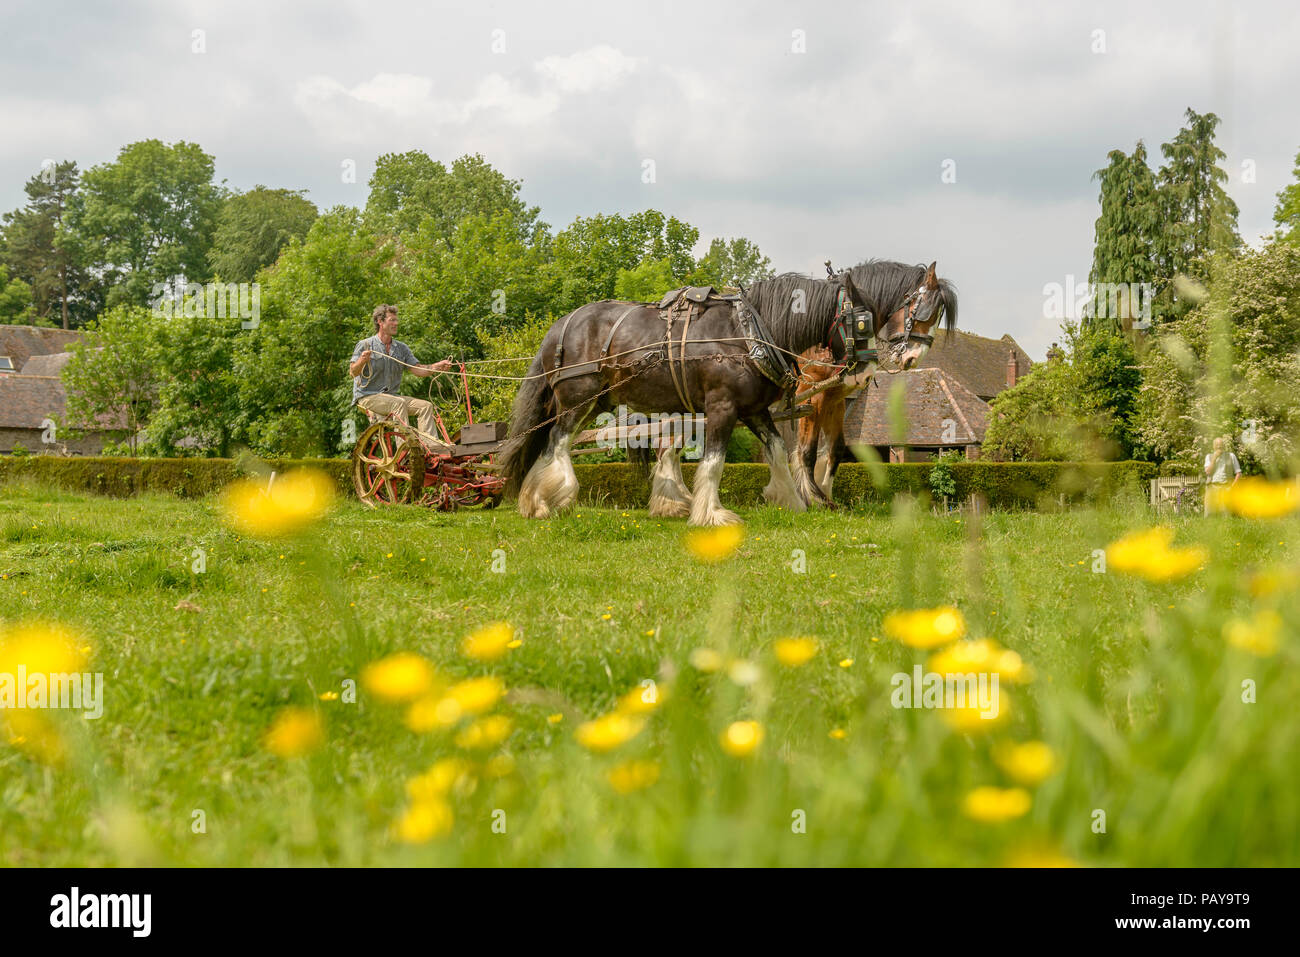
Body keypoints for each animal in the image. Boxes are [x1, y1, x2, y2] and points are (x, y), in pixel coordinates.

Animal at [497, 259, 956, 526]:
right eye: (861, 321)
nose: (873, 366)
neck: (752, 330)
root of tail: (562, 323)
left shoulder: (755, 410)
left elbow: (778, 452)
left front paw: (793, 500)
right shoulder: (723, 406)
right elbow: (715, 461)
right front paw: (711, 514)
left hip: (602, 401)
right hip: (579, 399)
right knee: (556, 444)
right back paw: (544, 501)